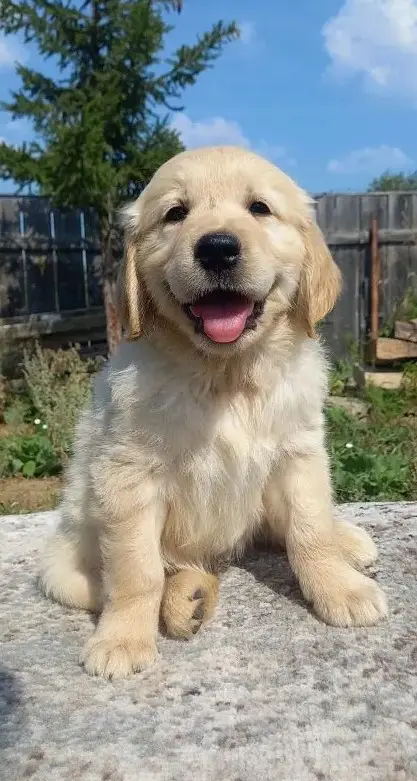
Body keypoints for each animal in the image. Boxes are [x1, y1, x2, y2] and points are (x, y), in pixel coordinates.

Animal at [39, 146, 386, 676]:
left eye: (259, 208)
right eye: (175, 214)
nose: (218, 248)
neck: (227, 377)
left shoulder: (299, 453)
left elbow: (309, 529)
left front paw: (341, 589)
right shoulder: (127, 474)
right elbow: (137, 571)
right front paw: (122, 639)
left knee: (286, 527)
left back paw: (344, 540)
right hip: (64, 567)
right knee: (147, 574)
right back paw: (188, 596)